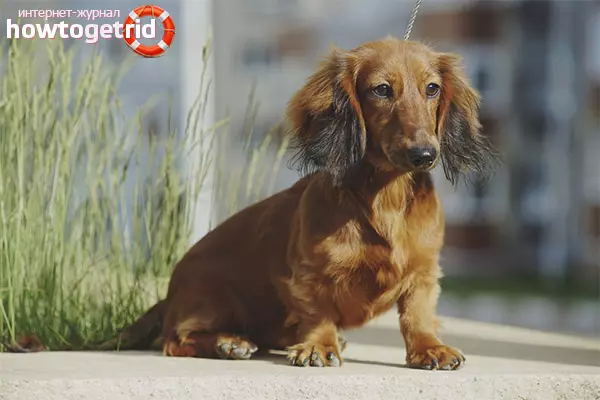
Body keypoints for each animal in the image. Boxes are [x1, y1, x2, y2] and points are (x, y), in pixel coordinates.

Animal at [111, 37, 496, 368]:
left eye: (432, 88)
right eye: (382, 89)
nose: (425, 154)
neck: (387, 197)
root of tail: (170, 295)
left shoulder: (424, 273)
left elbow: (418, 315)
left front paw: (430, 348)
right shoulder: (309, 272)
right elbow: (317, 310)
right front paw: (318, 347)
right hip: (213, 298)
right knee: (174, 340)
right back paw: (228, 342)